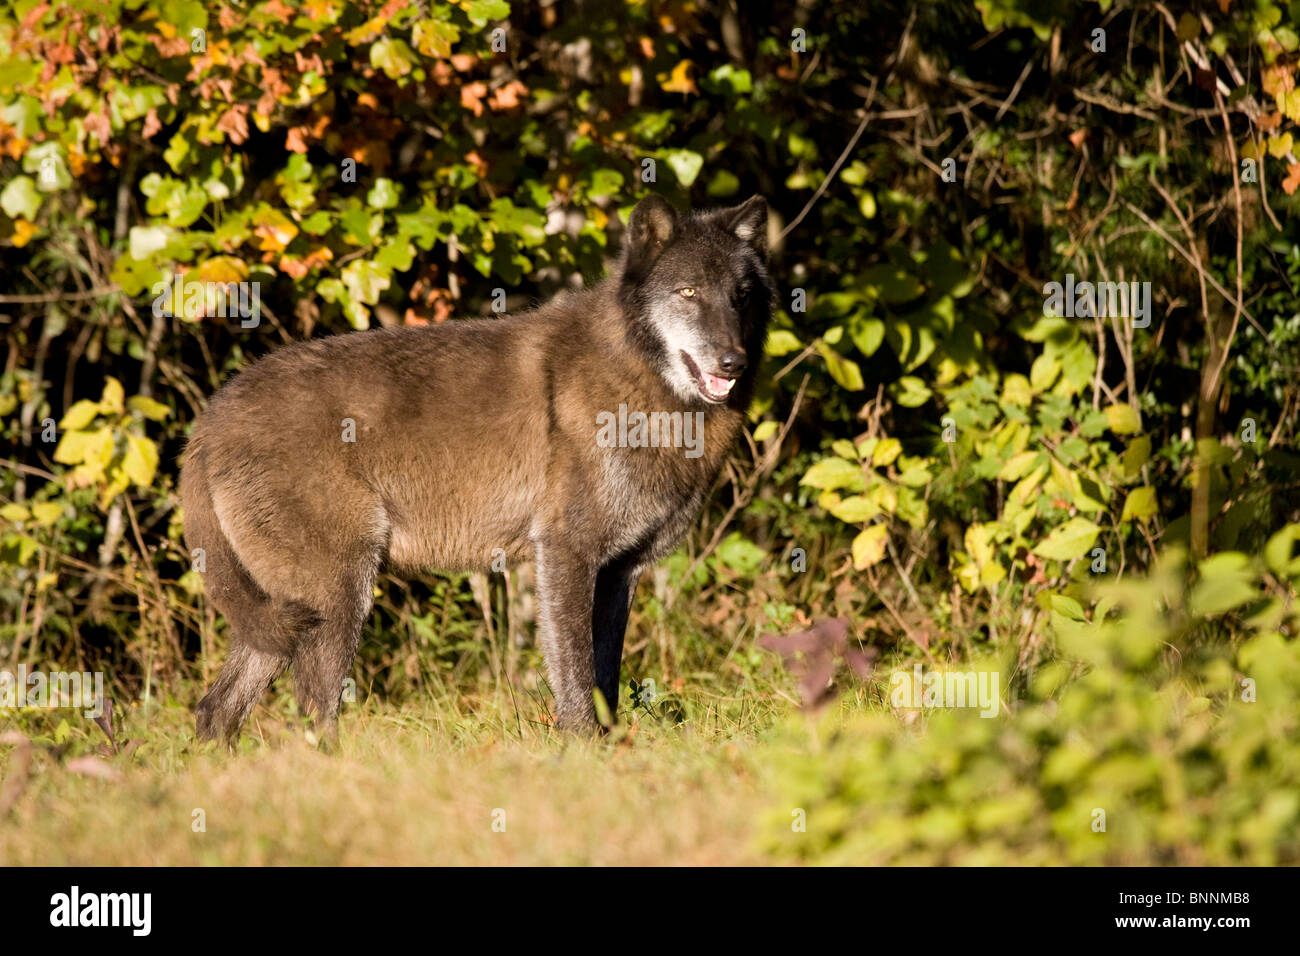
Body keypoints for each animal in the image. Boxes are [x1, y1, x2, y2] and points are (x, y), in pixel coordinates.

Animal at [181, 193, 772, 744]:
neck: (643, 392)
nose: (733, 362)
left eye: (741, 296)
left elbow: (605, 675)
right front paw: (583, 752)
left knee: (215, 711)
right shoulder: (565, 554)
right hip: (339, 599)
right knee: (311, 716)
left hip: (283, 620)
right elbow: (576, 677)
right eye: (689, 293)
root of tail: (210, 418)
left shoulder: (620, 571)